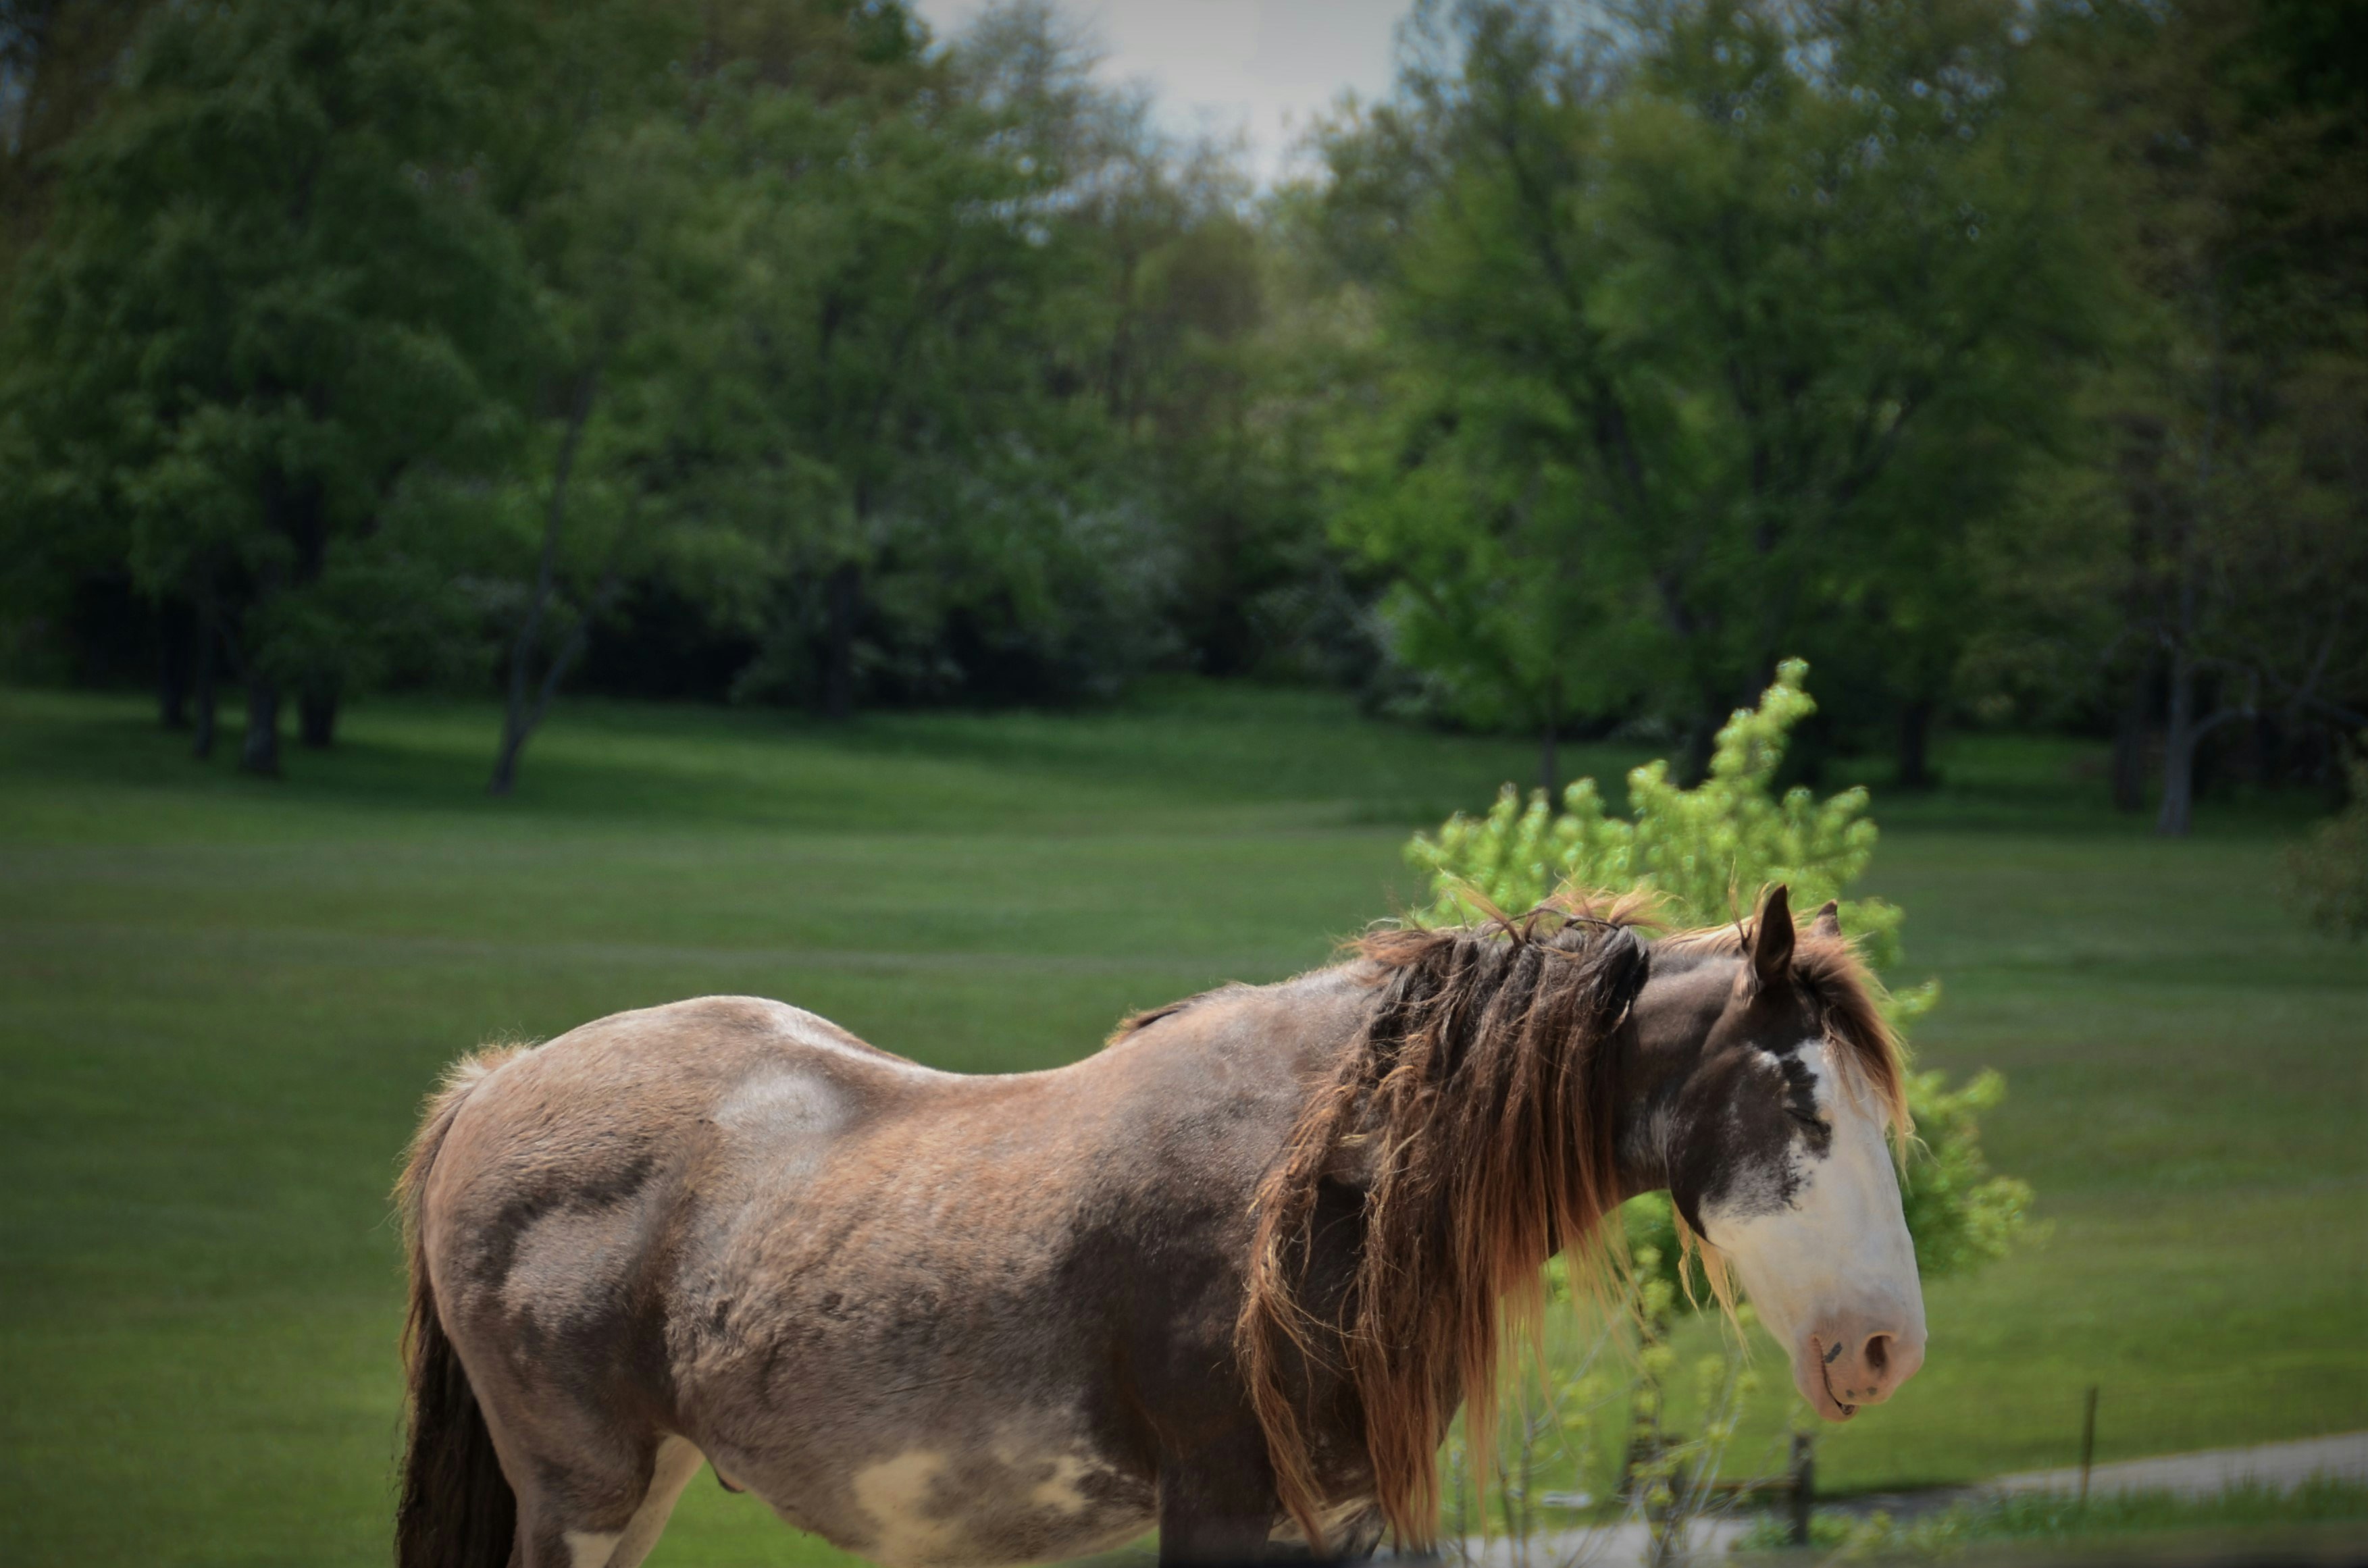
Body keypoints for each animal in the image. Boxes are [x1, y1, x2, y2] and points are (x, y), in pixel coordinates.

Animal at [395, 884, 1926, 1568]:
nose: (1887, 1350)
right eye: (1803, 1103)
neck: (1321, 1194)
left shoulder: (1342, 1523)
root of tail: (496, 1087)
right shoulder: (1224, 1516)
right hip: (582, 1495)